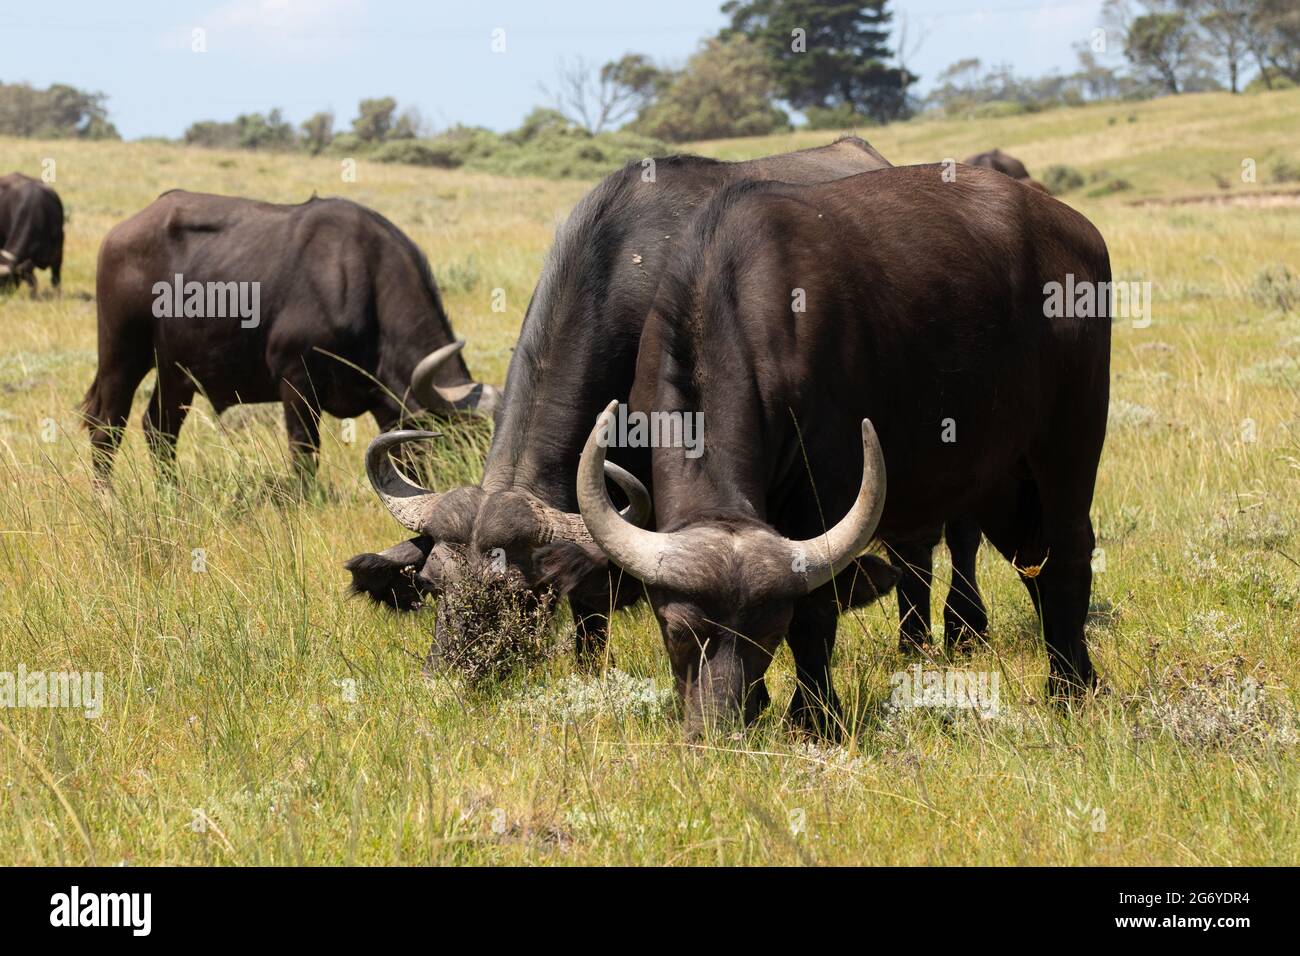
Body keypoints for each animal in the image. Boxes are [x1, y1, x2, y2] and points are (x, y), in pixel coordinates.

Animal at [83, 191, 497, 485]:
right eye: (459, 445)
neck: (364, 281)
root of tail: (120, 234)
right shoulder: (296, 381)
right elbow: (304, 451)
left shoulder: (385, 406)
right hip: (122, 355)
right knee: (107, 426)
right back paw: (108, 499)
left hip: (176, 372)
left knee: (160, 429)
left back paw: (172, 491)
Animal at [570, 164, 1111, 735]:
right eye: (676, 630)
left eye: (768, 632)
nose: (718, 725)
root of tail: (1077, 232)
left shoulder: (825, 489)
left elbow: (815, 612)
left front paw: (812, 715)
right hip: (1000, 476)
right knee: (1031, 556)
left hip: (1070, 440)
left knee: (1068, 548)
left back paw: (1070, 688)